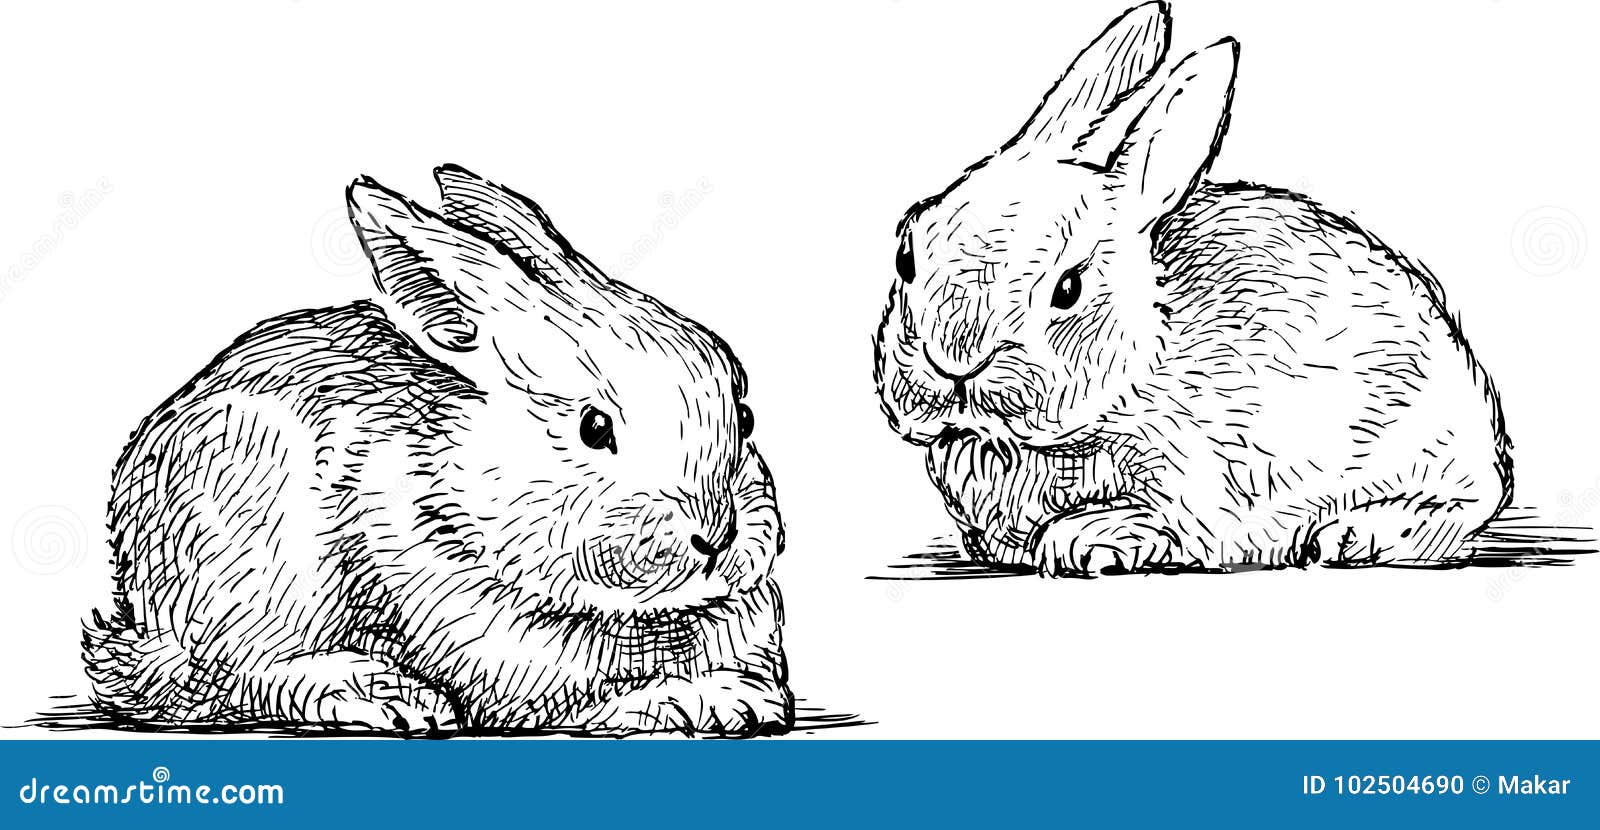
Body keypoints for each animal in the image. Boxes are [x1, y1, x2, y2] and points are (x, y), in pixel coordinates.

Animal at [83, 164, 792, 736]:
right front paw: (696, 701)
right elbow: (574, 699)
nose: (716, 536)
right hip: (255, 559)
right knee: (250, 673)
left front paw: (749, 700)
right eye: (594, 428)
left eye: (745, 415)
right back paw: (381, 697)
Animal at [874, 1, 1511, 576]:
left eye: (1069, 289)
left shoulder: (1202, 479)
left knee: (1455, 512)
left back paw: (1351, 536)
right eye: (906, 253)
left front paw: (1077, 541)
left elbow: (1160, 519)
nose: (953, 360)